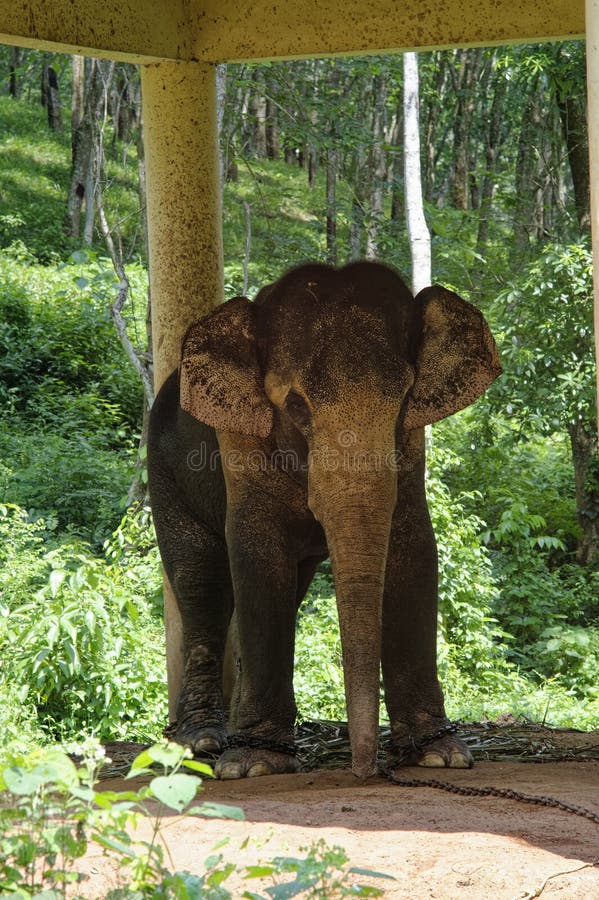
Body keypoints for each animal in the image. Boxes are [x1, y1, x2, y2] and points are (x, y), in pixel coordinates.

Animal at [147, 260, 501, 780]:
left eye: (404, 399)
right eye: (296, 405)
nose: (366, 772)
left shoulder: (411, 441)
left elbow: (414, 546)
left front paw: (440, 753)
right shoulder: (238, 441)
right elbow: (255, 551)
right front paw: (254, 764)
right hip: (163, 474)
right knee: (201, 584)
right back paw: (200, 741)